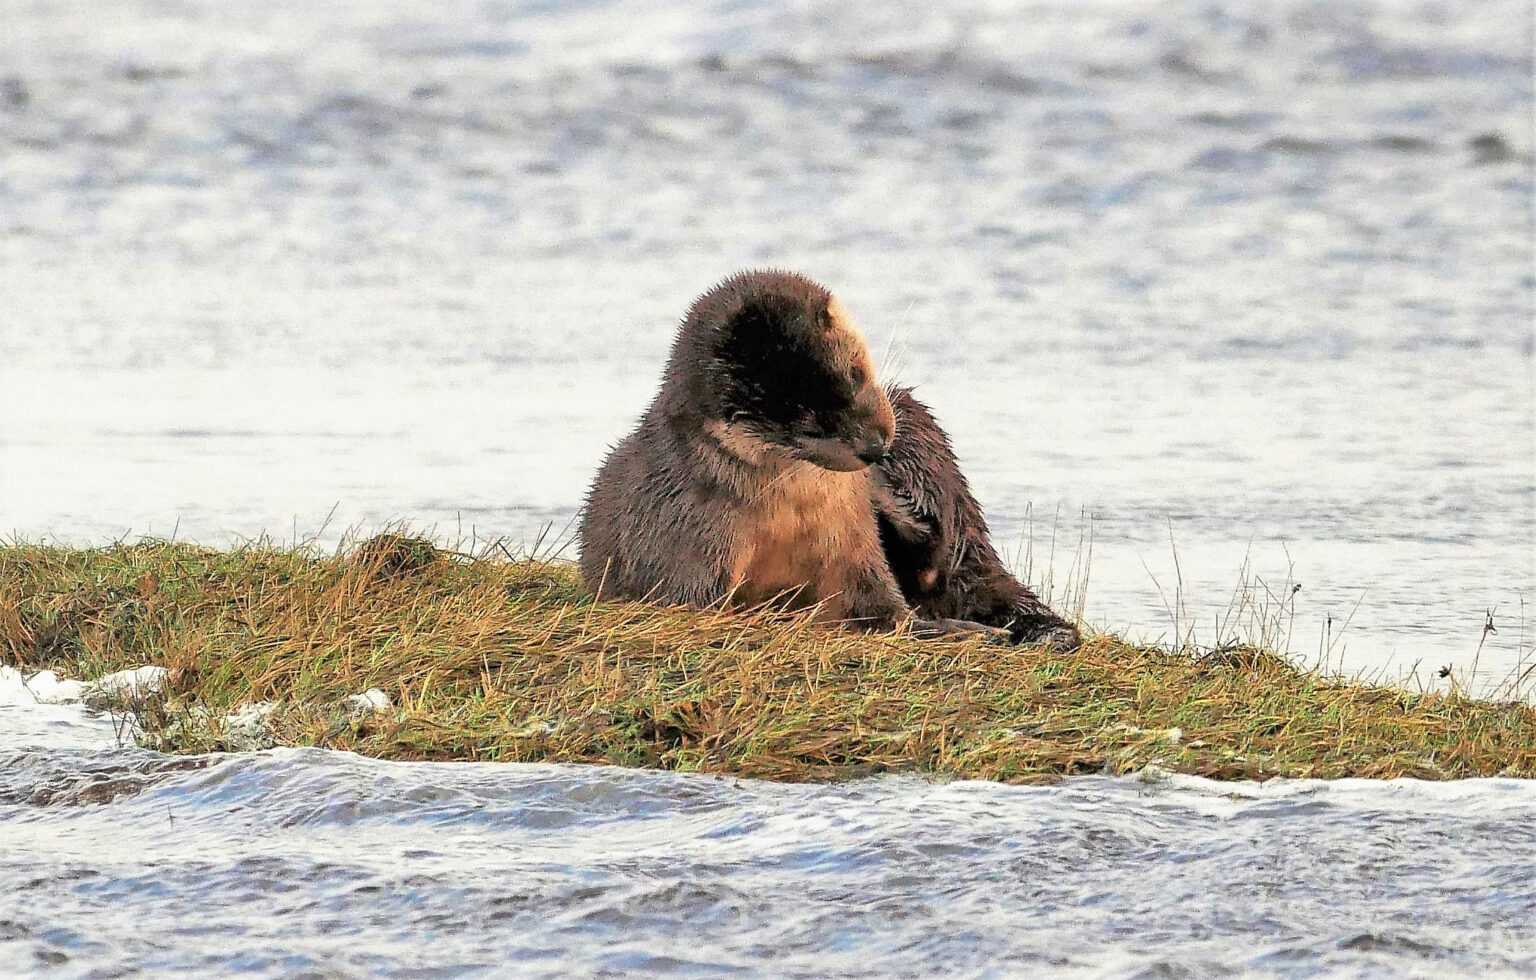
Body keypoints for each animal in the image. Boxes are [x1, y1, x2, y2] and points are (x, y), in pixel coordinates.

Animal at [578, 269, 1079, 647]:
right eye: (808, 425)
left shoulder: (856, 544)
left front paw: (964, 631)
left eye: (853, 374)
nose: (876, 447)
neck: (790, 513)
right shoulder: (687, 537)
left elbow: (887, 607)